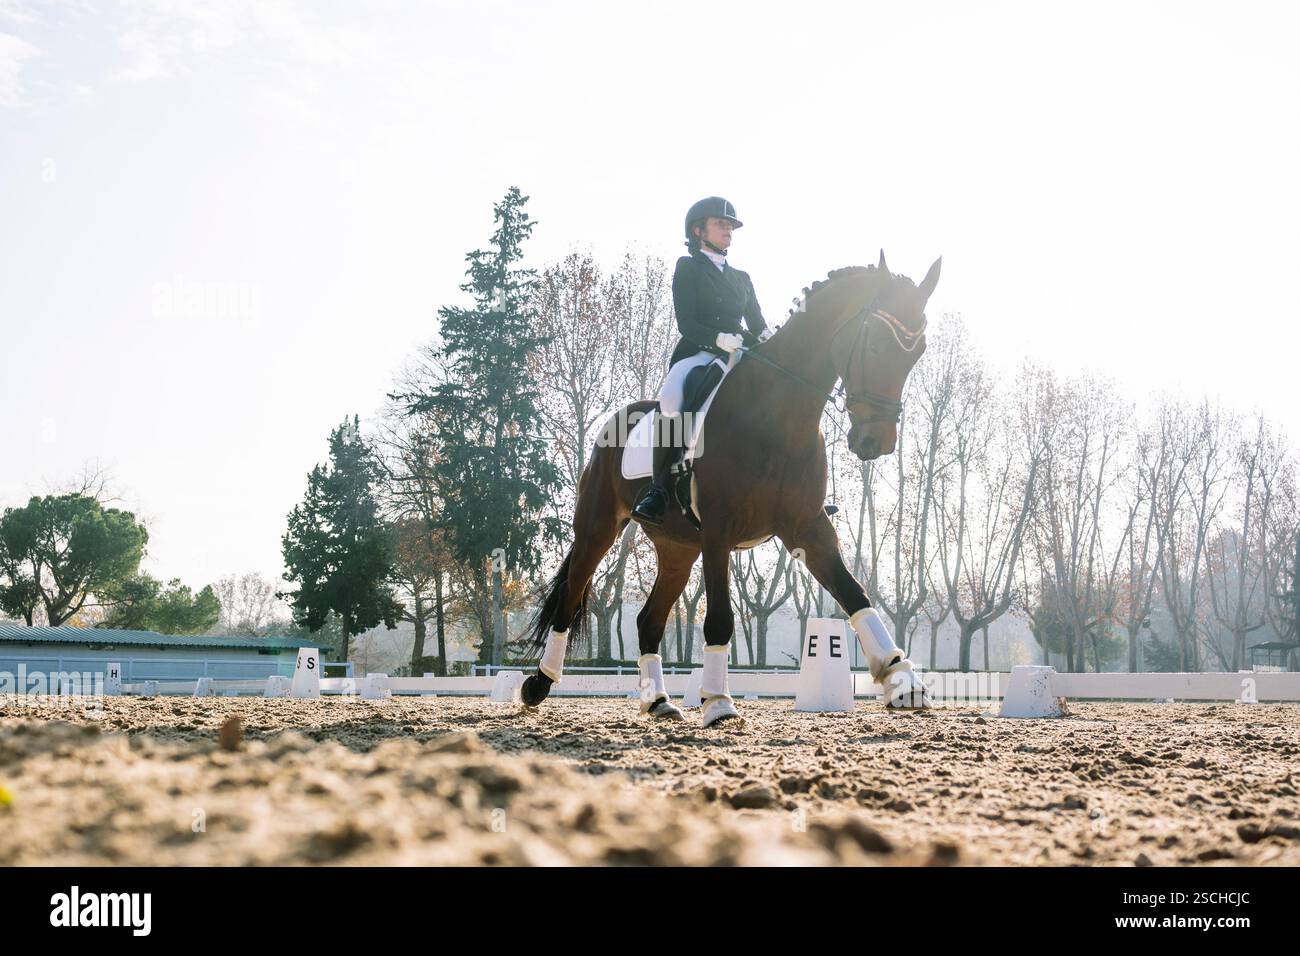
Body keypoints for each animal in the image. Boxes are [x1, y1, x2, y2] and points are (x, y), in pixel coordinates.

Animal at [521, 251, 941, 726]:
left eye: (917, 352)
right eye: (874, 346)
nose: (875, 442)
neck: (777, 414)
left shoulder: (807, 526)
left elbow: (854, 594)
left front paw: (903, 681)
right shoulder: (720, 530)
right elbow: (720, 618)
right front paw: (718, 702)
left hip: (678, 547)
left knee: (648, 620)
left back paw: (658, 701)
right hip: (597, 529)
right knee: (568, 601)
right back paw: (538, 684)